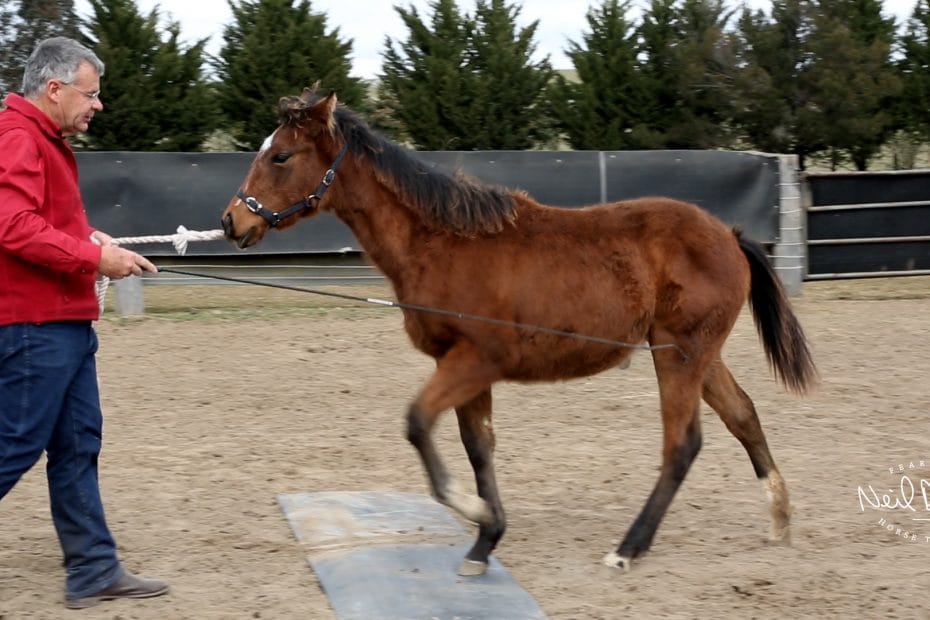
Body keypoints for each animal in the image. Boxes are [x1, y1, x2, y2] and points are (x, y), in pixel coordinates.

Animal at [220, 86, 817, 577]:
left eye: (280, 155)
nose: (232, 221)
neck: (441, 242)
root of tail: (729, 234)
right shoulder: (461, 368)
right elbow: (477, 447)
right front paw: (486, 540)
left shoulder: (473, 361)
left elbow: (418, 425)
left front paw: (475, 510)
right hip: (693, 353)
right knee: (743, 416)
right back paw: (779, 519)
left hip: (680, 356)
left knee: (681, 444)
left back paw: (628, 548)